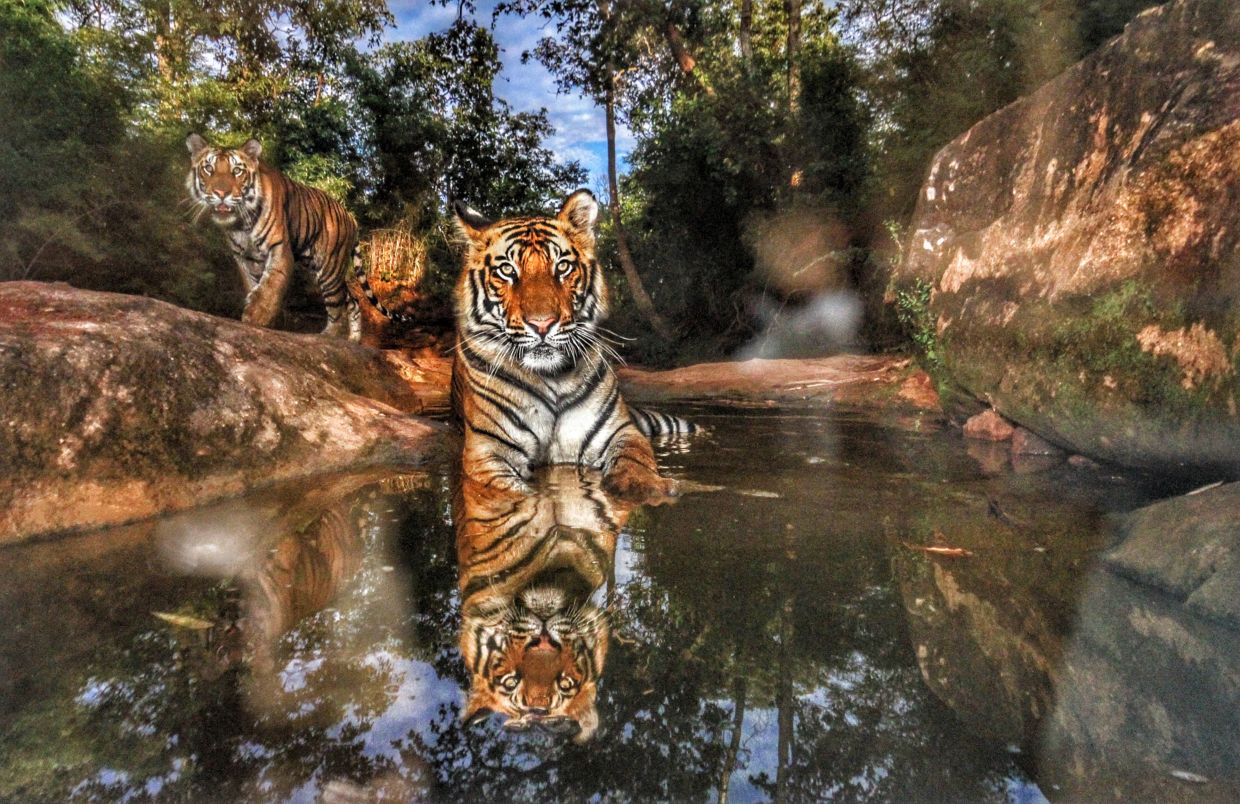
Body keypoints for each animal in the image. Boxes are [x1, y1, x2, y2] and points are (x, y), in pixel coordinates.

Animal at [185, 133, 364, 341]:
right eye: (208, 169)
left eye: (237, 171)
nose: (221, 193)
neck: (241, 224)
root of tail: (351, 217)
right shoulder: (245, 257)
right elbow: (254, 284)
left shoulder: (279, 246)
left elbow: (272, 282)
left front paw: (256, 315)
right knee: (352, 301)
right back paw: (354, 340)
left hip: (329, 268)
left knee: (337, 306)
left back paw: (329, 335)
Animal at [451, 189, 696, 503]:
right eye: (507, 270)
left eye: (562, 267)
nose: (542, 324)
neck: (552, 377)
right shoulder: (488, 451)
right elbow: (514, 494)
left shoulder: (621, 432)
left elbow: (636, 462)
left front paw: (648, 488)